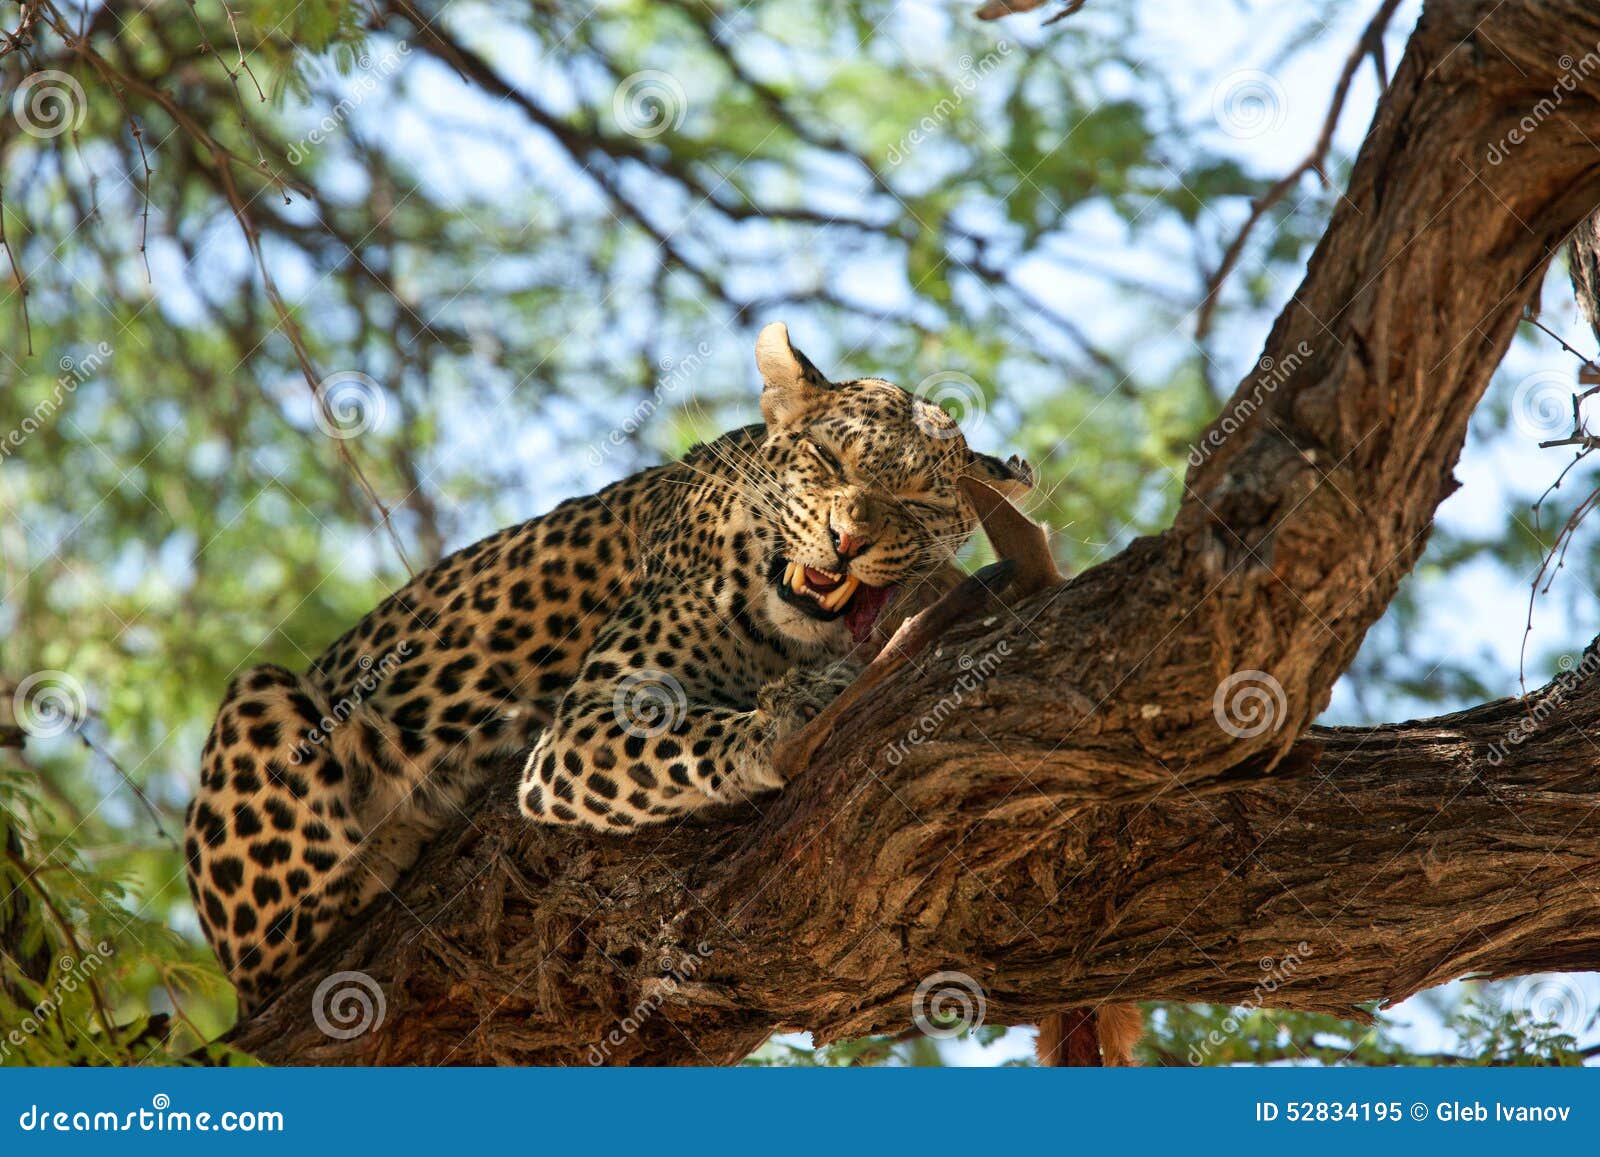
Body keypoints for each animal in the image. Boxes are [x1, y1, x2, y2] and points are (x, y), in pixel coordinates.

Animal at [183, 322, 1033, 1008]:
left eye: (921, 504)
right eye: (827, 459)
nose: (848, 540)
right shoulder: (585, 722)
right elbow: (688, 737)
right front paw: (784, 716)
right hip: (263, 697)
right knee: (276, 951)